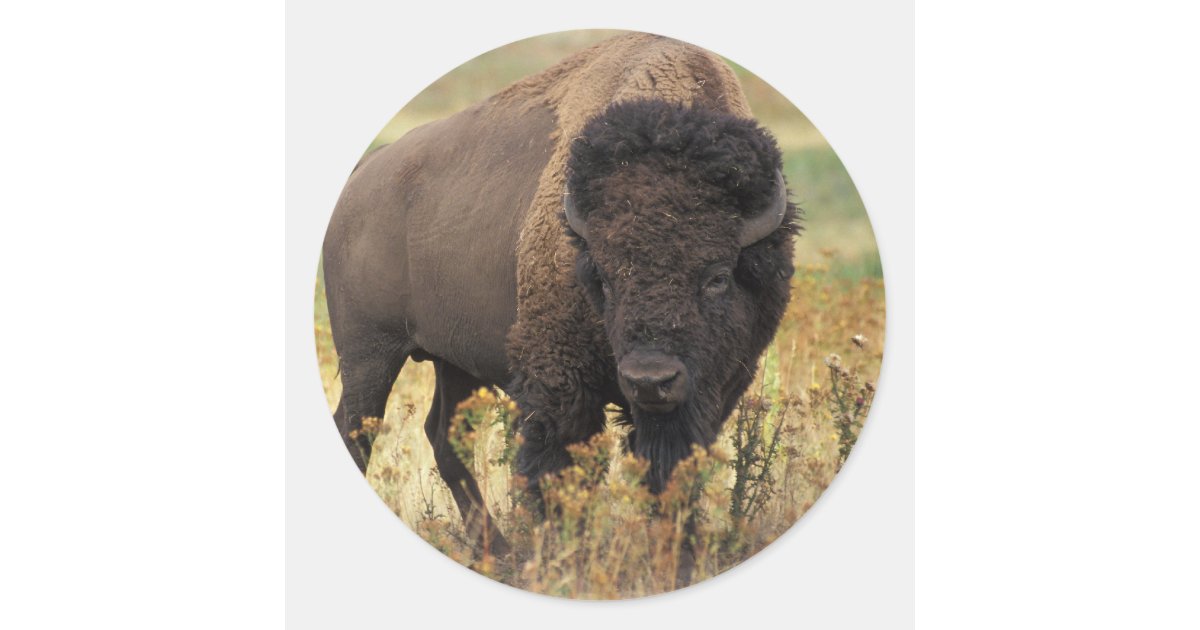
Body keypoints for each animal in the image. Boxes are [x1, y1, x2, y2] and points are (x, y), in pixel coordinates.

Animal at [322, 33, 798, 556]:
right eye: (604, 278)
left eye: (717, 276)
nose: (649, 380)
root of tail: (362, 175)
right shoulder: (560, 383)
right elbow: (557, 469)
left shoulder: (714, 388)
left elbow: (671, 470)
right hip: (369, 354)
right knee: (356, 428)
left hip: (453, 360)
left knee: (443, 435)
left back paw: (497, 549)